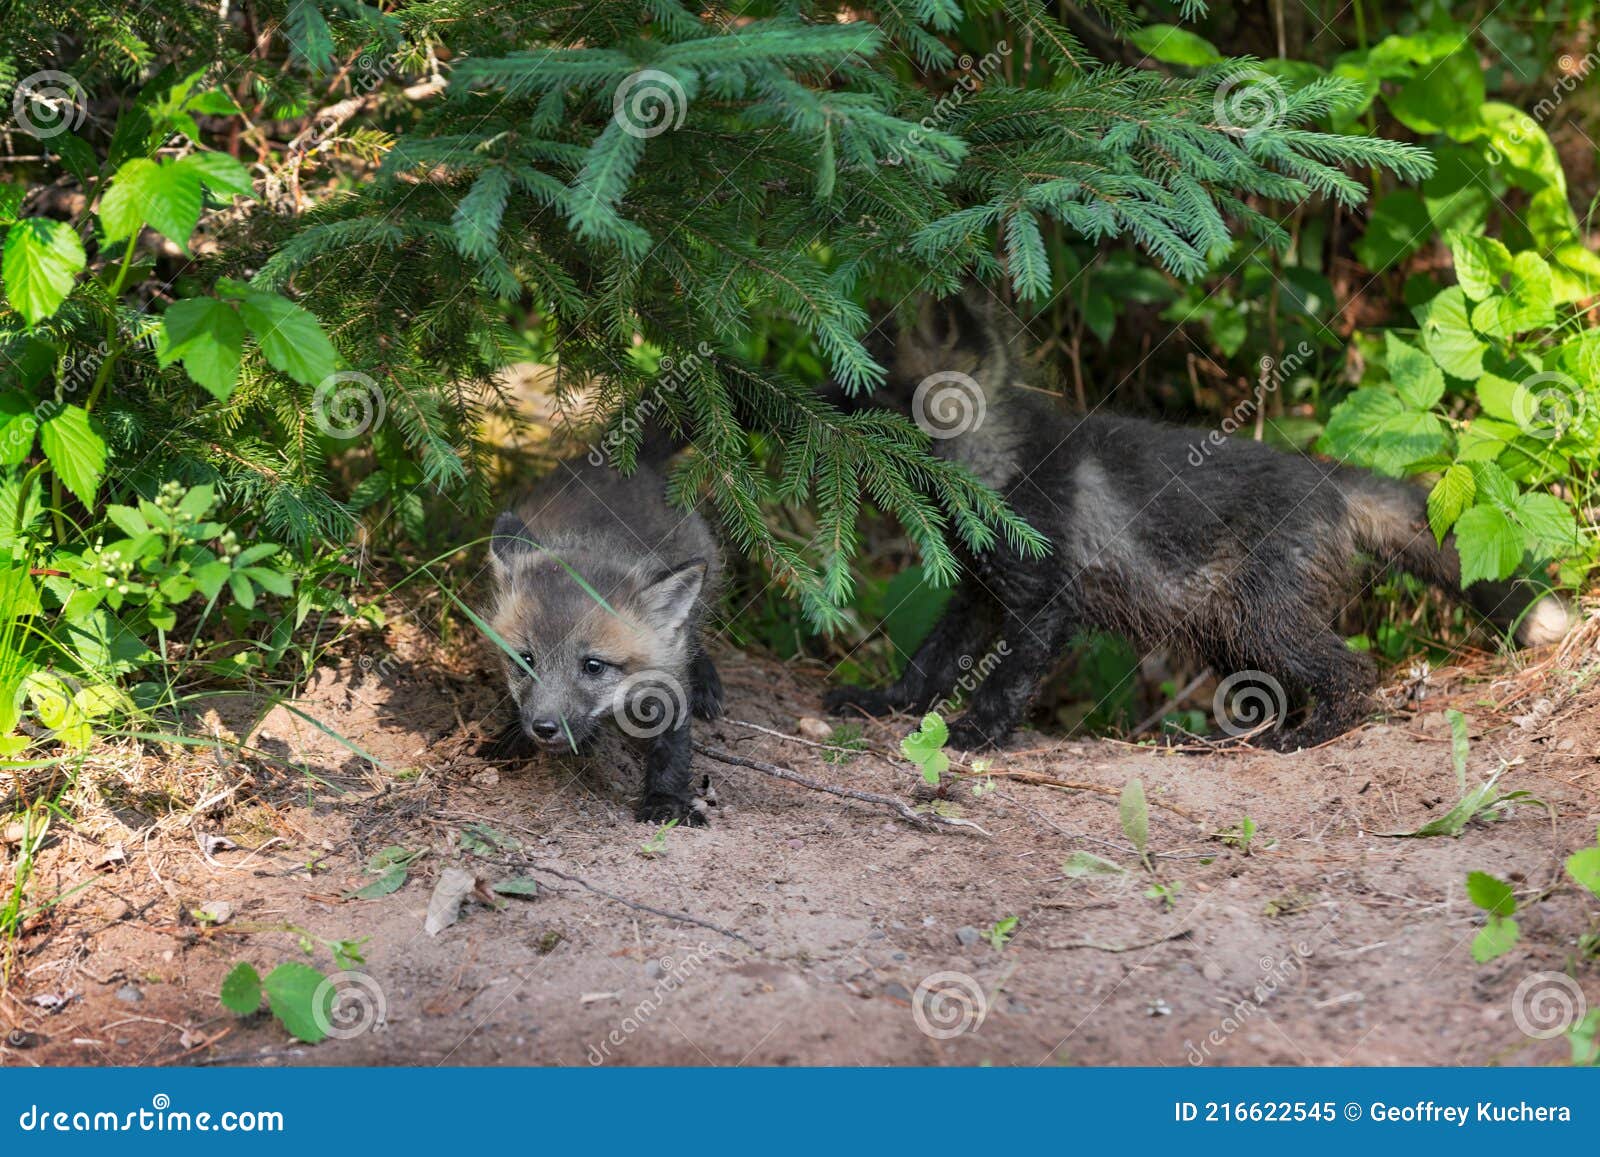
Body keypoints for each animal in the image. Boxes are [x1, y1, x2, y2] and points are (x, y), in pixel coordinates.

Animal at [486, 447, 723, 825]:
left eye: (593, 666)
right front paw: (509, 741)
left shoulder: (666, 671)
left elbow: (671, 749)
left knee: (691, 631)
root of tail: (628, 463)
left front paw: (665, 801)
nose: (544, 727)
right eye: (526, 659)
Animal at [825, 292, 1571, 752]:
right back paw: (1223, 740)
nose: (806, 410)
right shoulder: (979, 593)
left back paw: (1309, 737)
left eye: (865, 388)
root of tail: (1324, 478)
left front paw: (974, 734)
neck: (997, 464)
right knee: (1275, 694)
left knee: (1354, 672)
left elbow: (1005, 681)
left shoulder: (1042, 601)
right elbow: (928, 663)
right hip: (1226, 631)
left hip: (1265, 618)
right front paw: (878, 701)